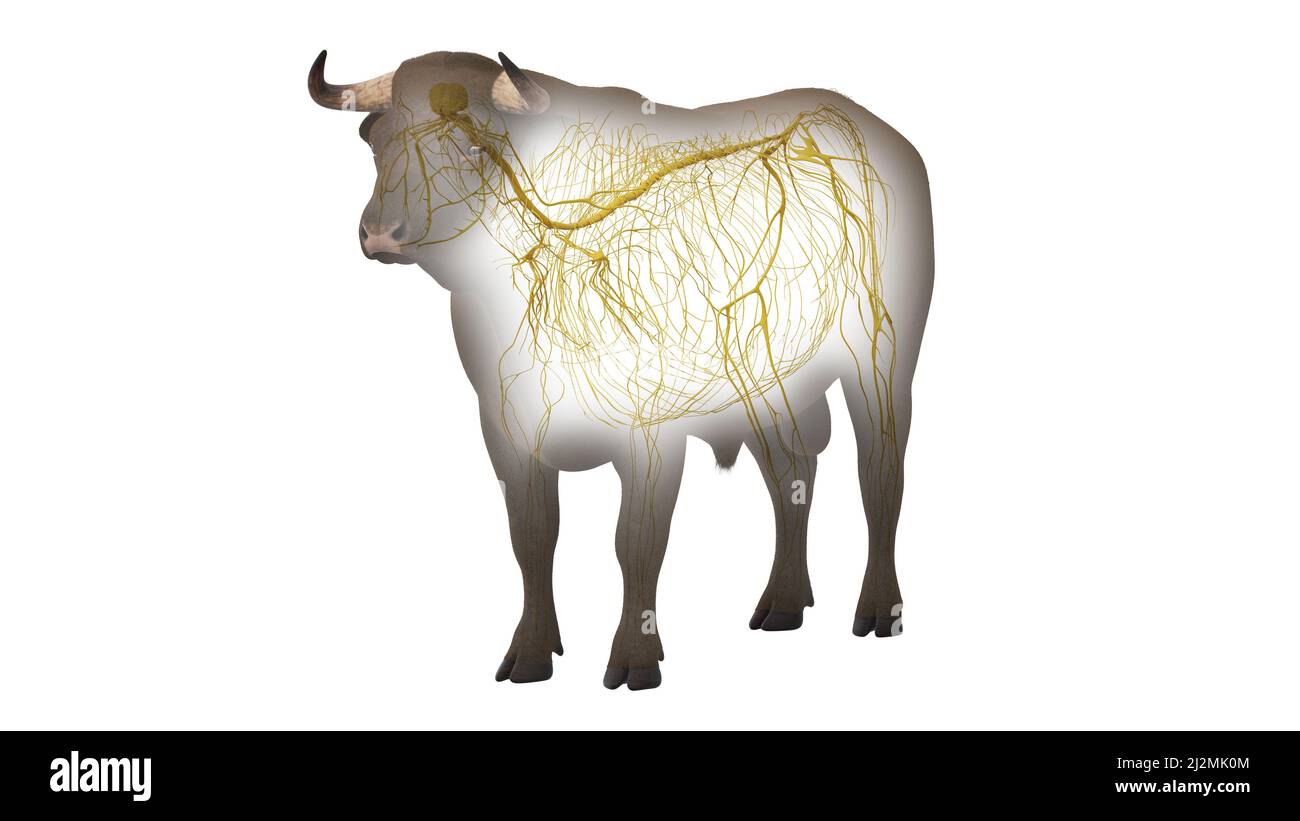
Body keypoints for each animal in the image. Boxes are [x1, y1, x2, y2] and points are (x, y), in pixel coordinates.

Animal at [308, 50, 934, 689]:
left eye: (472, 144)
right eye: (378, 140)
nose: (380, 232)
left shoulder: (653, 430)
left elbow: (636, 540)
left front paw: (635, 658)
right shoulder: (505, 428)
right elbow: (533, 537)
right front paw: (529, 654)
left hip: (882, 359)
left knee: (880, 472)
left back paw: (878, 609)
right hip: (766, 382)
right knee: (792, 474)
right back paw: (782, 604)